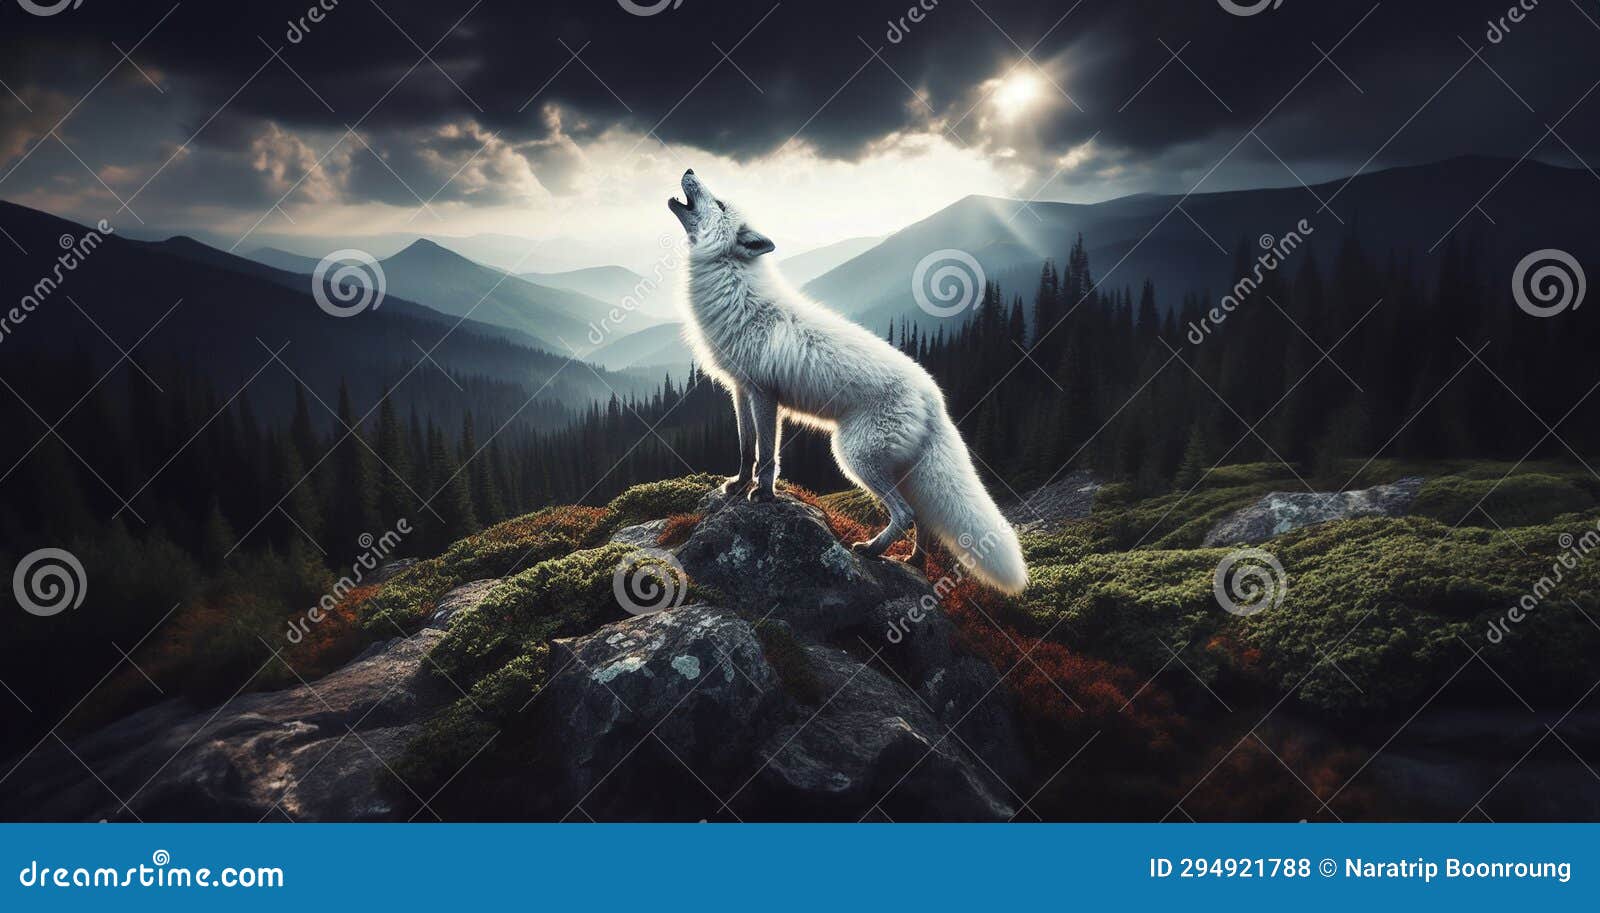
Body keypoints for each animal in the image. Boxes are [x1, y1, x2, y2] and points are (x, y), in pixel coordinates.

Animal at [668, 169, 1028, 594]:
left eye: (720, 203)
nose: (690, 170)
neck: (739, 294)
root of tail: (934, 397)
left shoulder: (764, 394)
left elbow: (767, 455)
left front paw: (764, 494)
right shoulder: (739, 390)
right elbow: (745, 448)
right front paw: (738, 486)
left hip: (853, 456)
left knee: (905, 514)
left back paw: (872, 551)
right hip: (900, 471)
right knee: (922, 518)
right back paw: (913, 561)